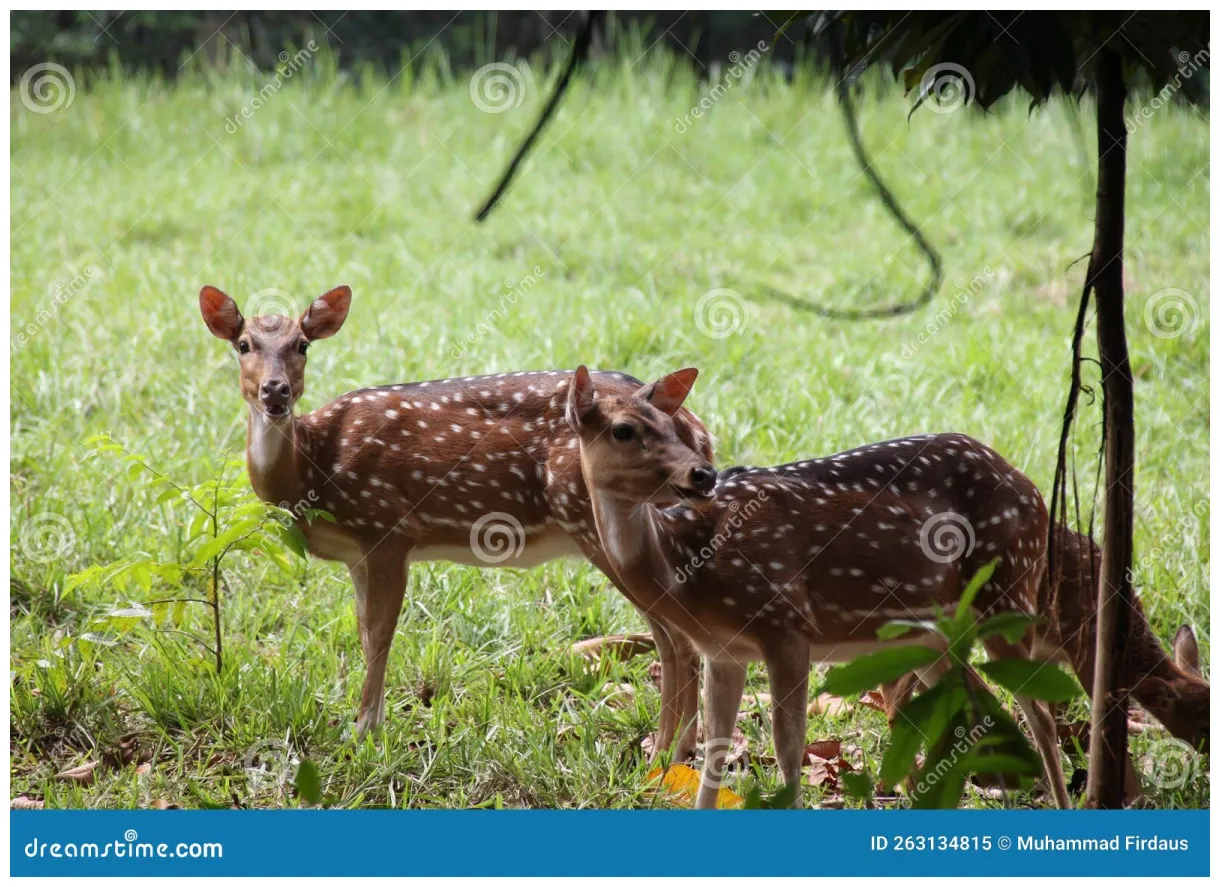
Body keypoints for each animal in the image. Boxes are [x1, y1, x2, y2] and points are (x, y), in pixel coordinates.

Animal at [199, 285, 711, 744]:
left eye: (301, 345)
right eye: (243, 344)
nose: (276, 390)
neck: (314, 468)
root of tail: (701, 435)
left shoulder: (387, 526)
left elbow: (381, 634)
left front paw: (364, 732)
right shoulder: (357, 552)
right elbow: (364, 631)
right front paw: (370, 723)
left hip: (595, 522)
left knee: (677, 639)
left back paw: (665, 755)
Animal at [564, 364, 1072, 809]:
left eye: (673, 427)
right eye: (623, 430)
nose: (702, 474)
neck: (689, 568)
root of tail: (1034, 490)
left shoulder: (786, 622)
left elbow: (787, 751)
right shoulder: (724, 650)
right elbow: (714, 753)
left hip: (1007, 587)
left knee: (1040, 713)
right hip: (937, 632)